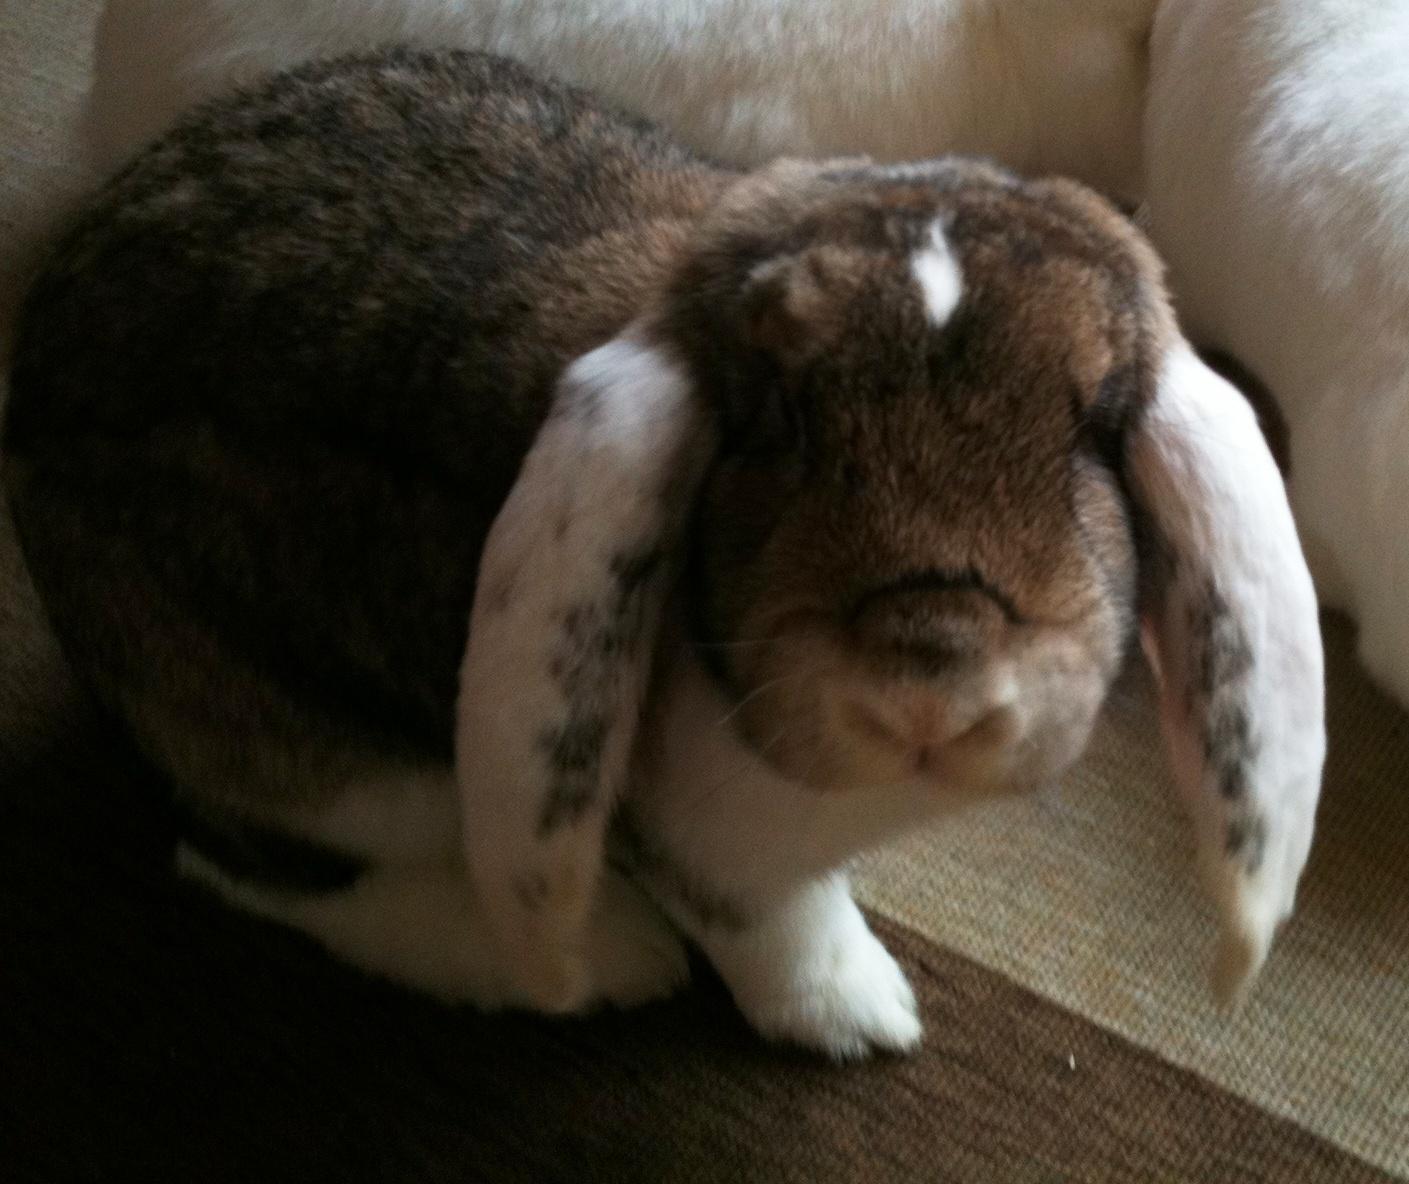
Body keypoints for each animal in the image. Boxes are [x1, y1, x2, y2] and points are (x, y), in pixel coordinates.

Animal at [5, 48, 1323, 1058]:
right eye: (773, 421)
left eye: (1096, 424)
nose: (927, 679)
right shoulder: (709, 851)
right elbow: (774, 929)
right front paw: (863, 1016)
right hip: (323, 760)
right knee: (248, 866)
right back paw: (604, 959)